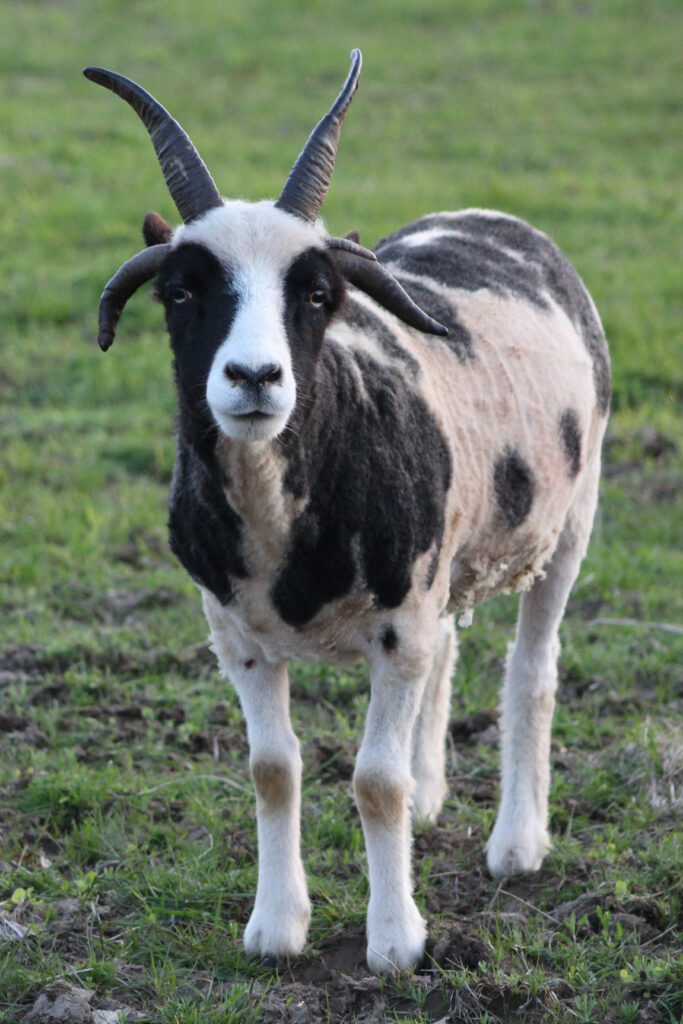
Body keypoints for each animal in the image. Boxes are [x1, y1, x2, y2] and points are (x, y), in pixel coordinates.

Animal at [84, 49, 610, 974]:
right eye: (180, 293)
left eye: (318, 294)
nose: (254, 377)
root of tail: (494, 216)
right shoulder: (236, 632)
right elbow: (272, 769)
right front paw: (274, 927)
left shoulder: (398, 623)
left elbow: (373, 781)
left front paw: (396, 941)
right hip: (448, 565)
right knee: (448, 652)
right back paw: (437, 796)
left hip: (568, 523)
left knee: (531, 669)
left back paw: (517, 843)